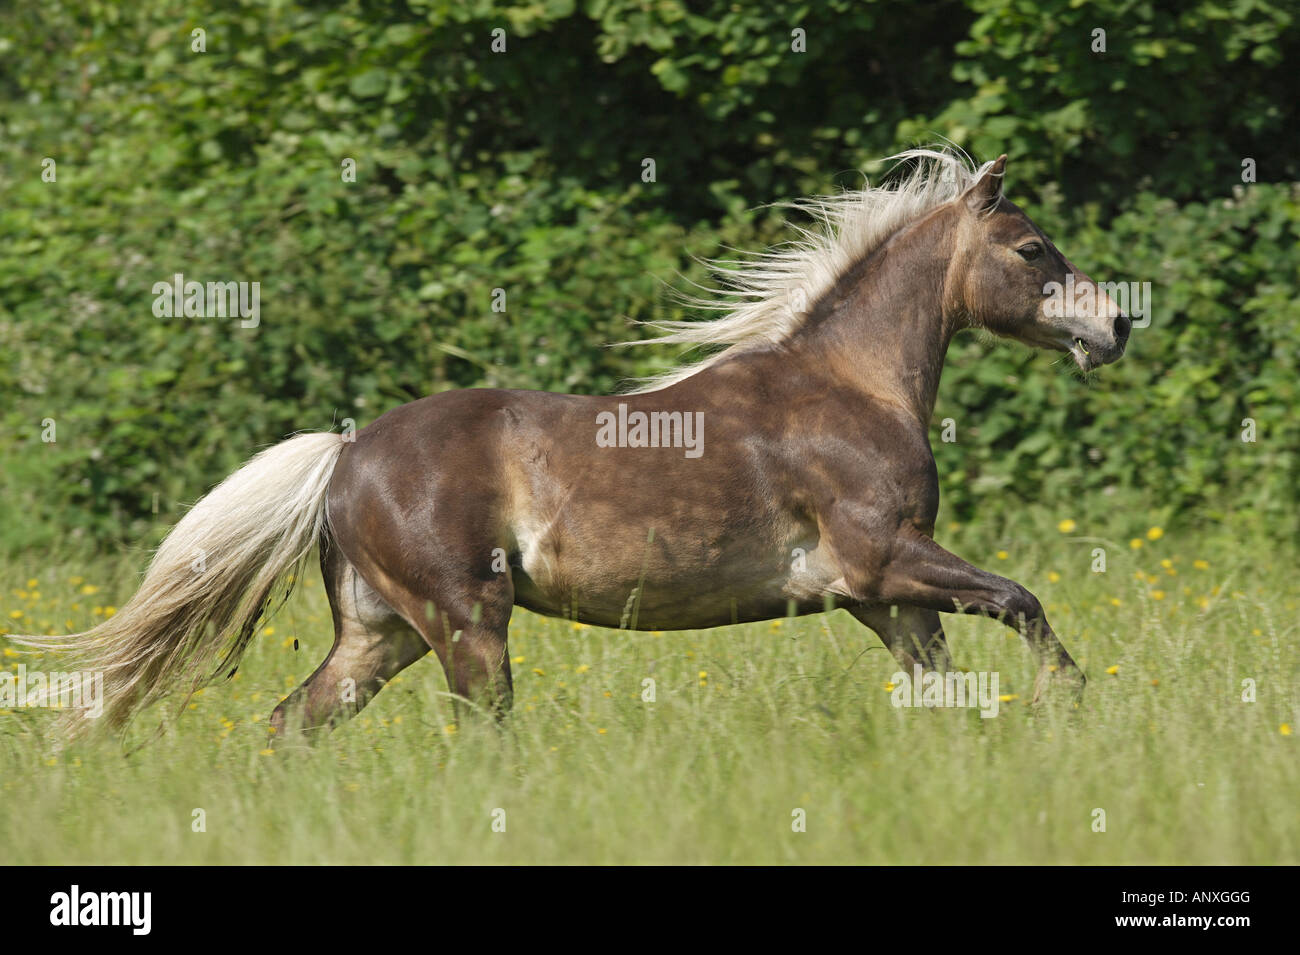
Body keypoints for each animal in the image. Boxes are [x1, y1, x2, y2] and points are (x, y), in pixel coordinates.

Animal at [18, 148, 1129, 739]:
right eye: (1031, 248)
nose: (1117, 325)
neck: (848, 389)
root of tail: (344, 451)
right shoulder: (887, 559)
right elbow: (1025, 602)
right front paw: (1070, 704)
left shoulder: (881, 597)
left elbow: (946, 681)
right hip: (467, 621)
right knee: (481, 730)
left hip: (378, 632)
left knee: (293, 722)